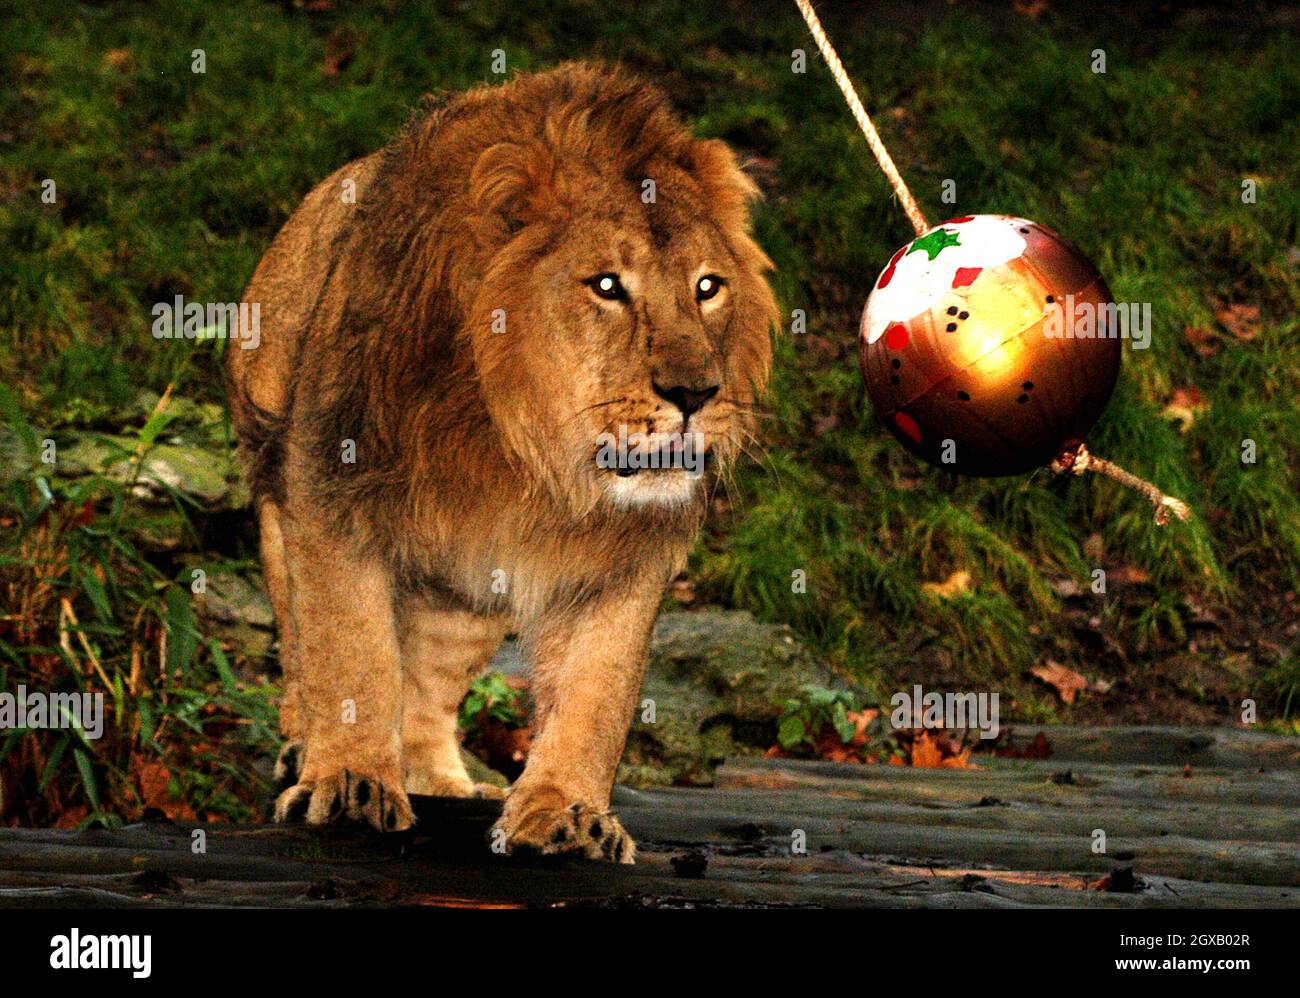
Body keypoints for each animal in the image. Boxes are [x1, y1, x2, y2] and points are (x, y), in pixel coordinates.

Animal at [226, 62, 777, 862]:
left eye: (707, 287)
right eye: (606, 286)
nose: (696, 394)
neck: (527, 454)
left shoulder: (623, 559)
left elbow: (597, 693)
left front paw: (568, 814)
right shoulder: (333, 488)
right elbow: (350, 648)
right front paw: (352, 783)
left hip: (465, 597)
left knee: (426, 687)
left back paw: (438, 780)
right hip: (274, 453)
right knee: (300, 631)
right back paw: (310, 747)